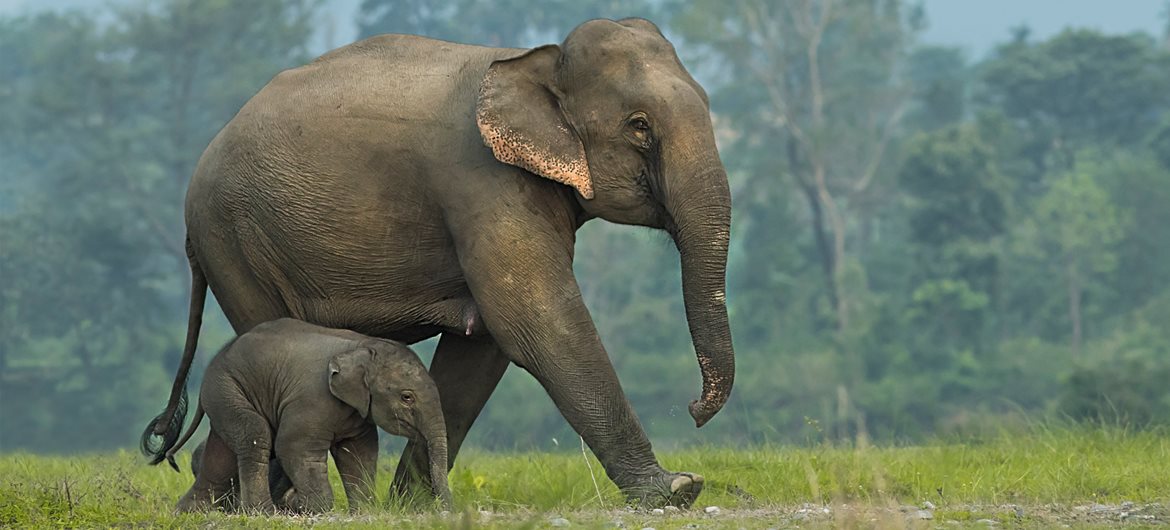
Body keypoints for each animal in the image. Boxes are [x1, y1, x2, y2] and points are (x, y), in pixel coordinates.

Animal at [149, 318, 453, 513]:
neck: (363, 345)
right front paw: (298, 504)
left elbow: (359, 453)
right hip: (227, 387)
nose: (446, 510)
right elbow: (293, 446)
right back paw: (263, 513)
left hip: (225, 394)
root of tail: (217, 358)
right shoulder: (312, 399)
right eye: (407, 397)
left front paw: (364, 511)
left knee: (221, 453)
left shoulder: (358, 413)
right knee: (256, 434)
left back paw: (188, 512)